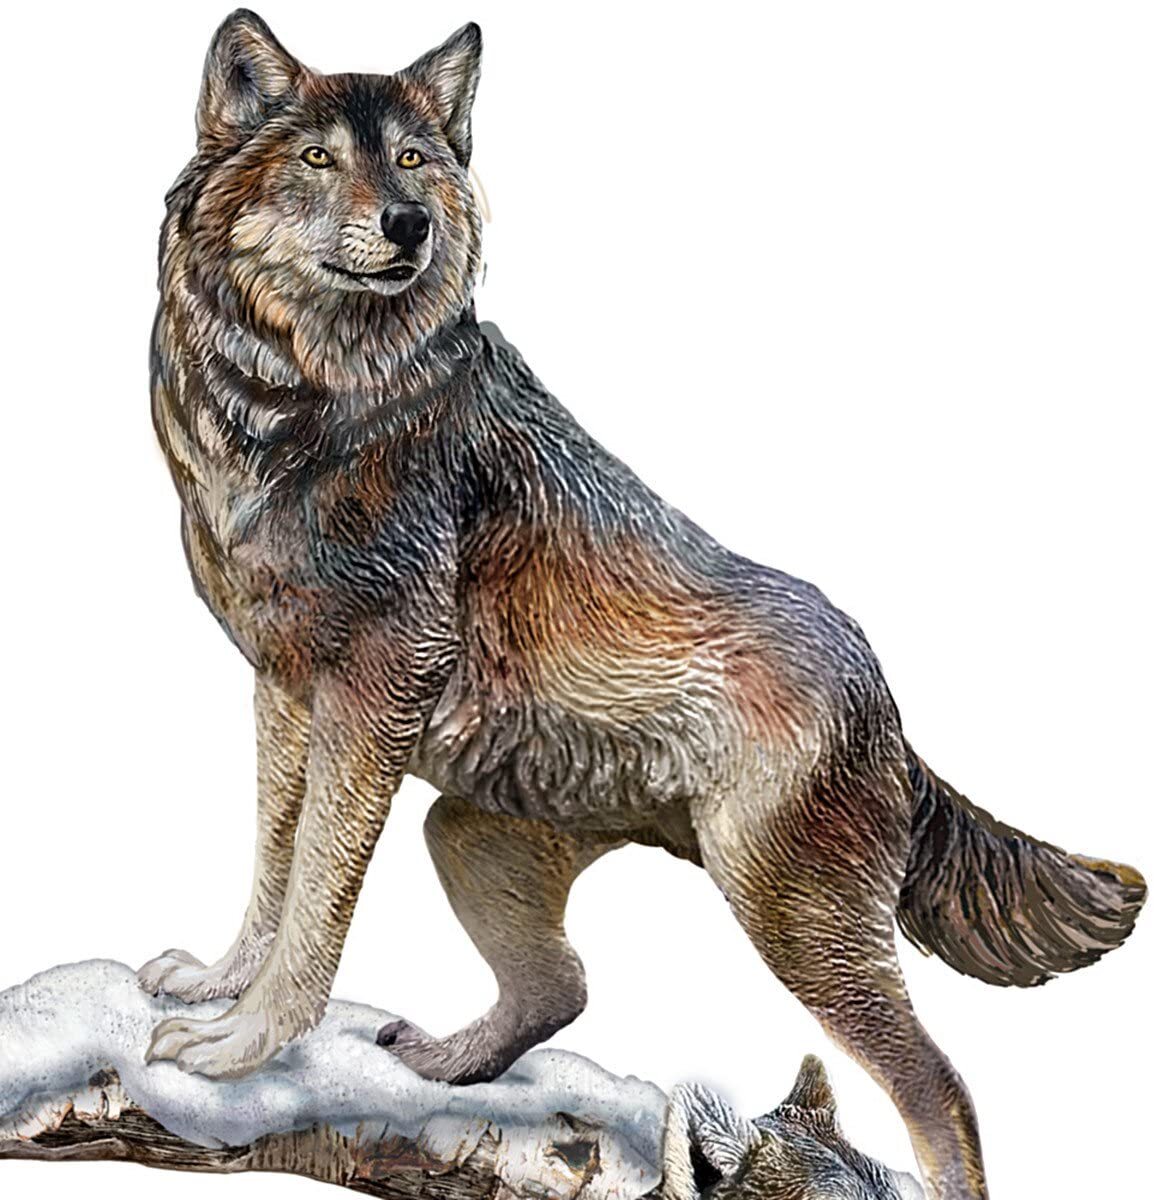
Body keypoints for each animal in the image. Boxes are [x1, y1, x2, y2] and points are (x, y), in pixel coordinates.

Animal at [139, 12, 1145, 1200]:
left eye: (414, 160)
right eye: (316, 158)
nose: (407, 224)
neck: (310, 404)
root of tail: (888, 709)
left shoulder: (371, 696)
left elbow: (315, 904)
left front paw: (242, 1050)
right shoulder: (288, 693)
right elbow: (272, 865)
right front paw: (216, 987)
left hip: (792, 922)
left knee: (939, 1086)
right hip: (466, 838)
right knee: (563, 987)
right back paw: (446, 1066)